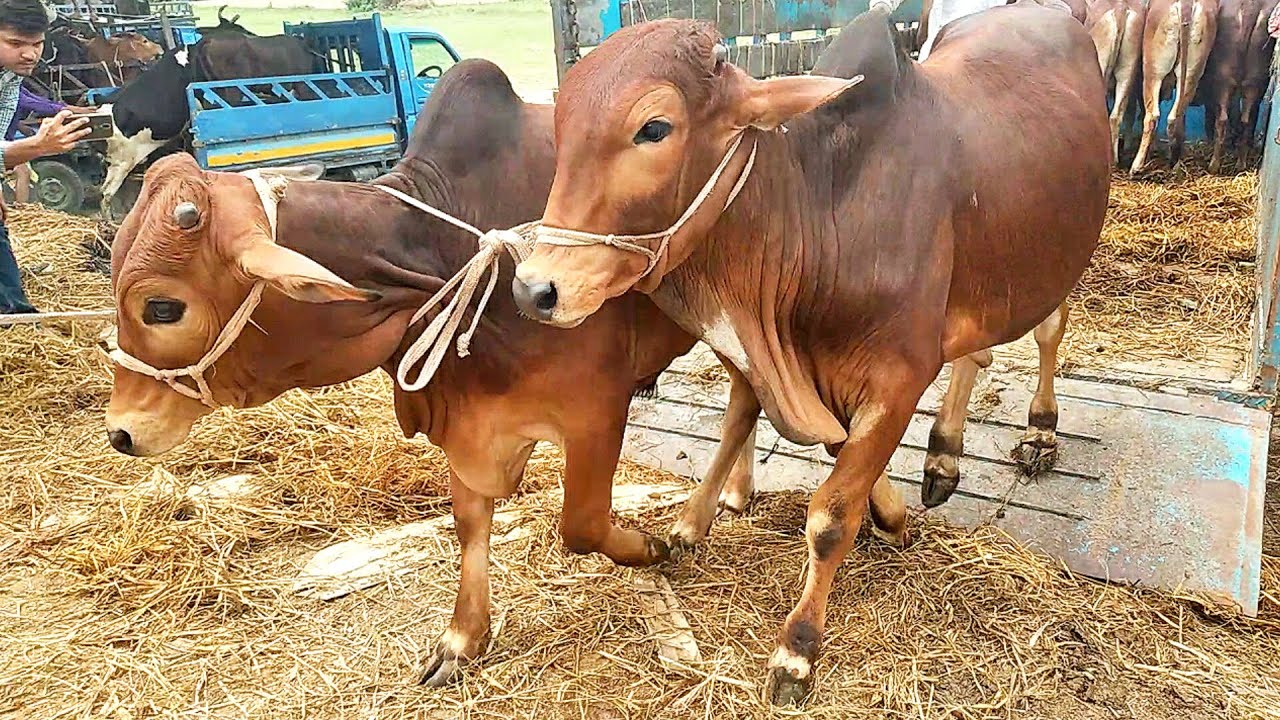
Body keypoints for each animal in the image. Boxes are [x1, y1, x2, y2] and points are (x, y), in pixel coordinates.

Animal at [101, 58, 906, 686]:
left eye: (163, 306)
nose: (120, 433)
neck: (446, 258)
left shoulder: (595, 411)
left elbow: (581, 525)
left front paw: (646, 548)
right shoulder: (471, 423)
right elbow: (469, 523)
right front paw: (462, 638)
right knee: (748, 392)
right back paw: (731, 495)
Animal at [510, 4, 1110, 705]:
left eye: (653, 128)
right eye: (561, 122)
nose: (536, 288)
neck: (823, 215)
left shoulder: (899, 380)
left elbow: (831, 512)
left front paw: (797, 648)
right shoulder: (771, 364)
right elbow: (752, 428)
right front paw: (696, 523)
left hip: (1060, 259)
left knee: (1046, 332)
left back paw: (1039, 430)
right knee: (976, 352)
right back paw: (944, 454)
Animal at [1129, 0, 1219, 174]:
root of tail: (1186, 4)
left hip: (1153, 70)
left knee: (1152, 116)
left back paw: (1137, 167)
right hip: (1192, 73)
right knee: (1176, 115)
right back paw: (1175, 163)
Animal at [1198, 0, 1279, 172]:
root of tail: (1249, 8)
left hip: (1227, 81)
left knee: (1226, 118)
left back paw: (1218, 165)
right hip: (1252, 81)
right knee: (1242, 119)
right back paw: (1236, 163)